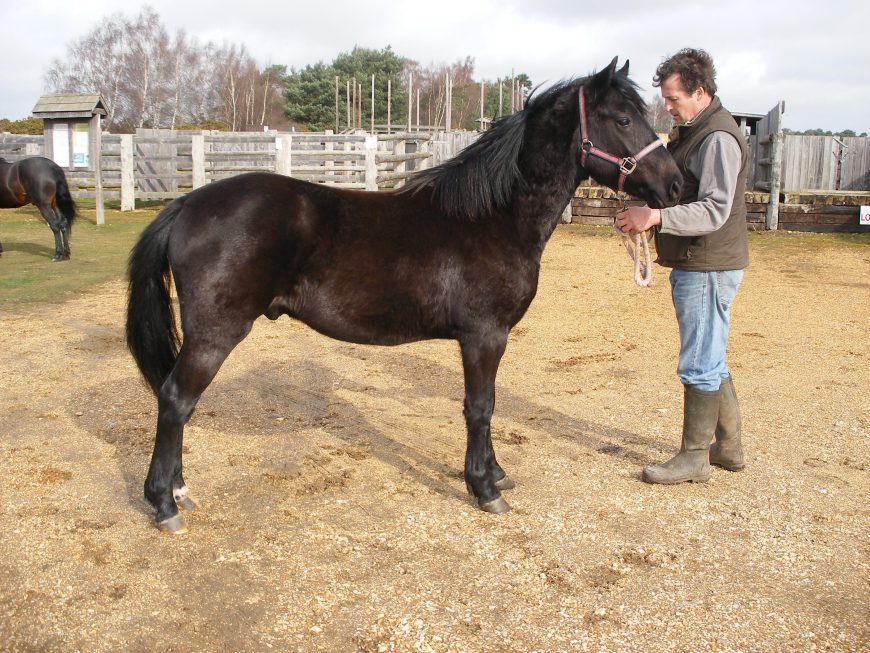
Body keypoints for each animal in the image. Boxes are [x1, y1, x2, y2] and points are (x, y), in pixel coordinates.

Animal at [126, 58, 683, 534]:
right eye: (623, 118)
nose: (676, 185)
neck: (493, 216)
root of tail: (187, 204)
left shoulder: (486, 339)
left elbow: (489, 404)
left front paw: (495, 474)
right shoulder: (484, 336)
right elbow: (480, 407)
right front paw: (484, 489)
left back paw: (179, 489)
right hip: (214, 335)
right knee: (175, 400)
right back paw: (163, 503)